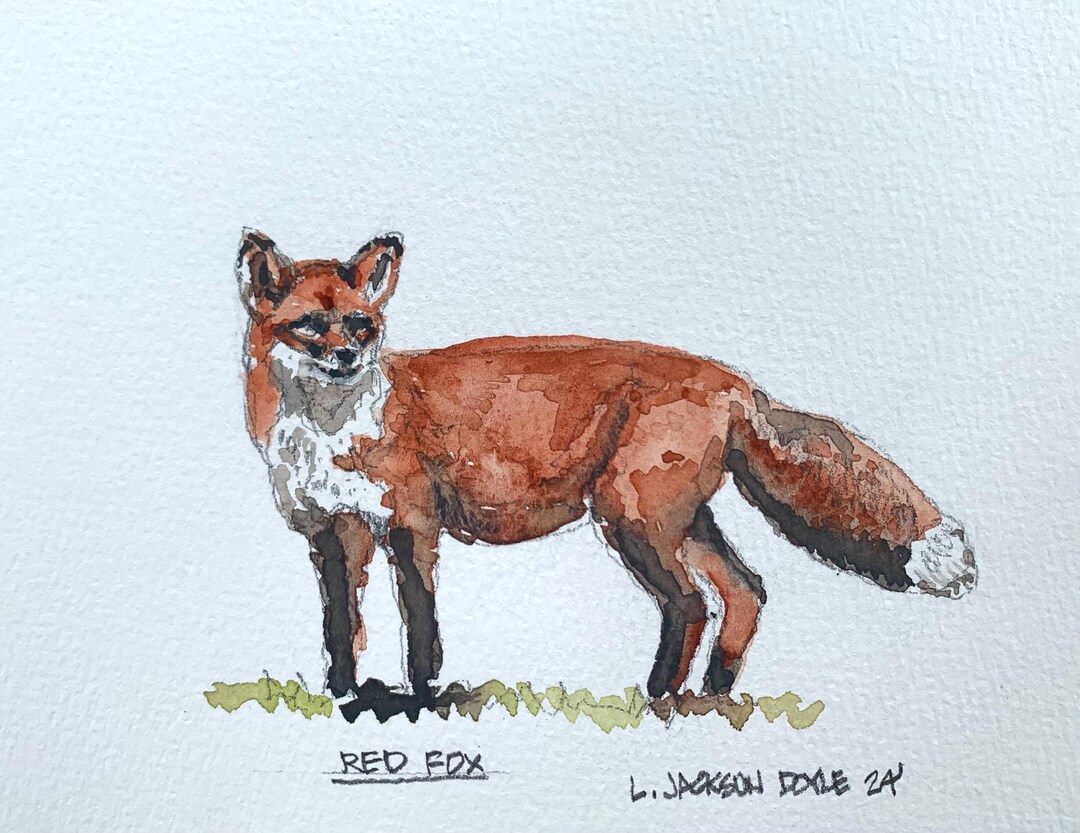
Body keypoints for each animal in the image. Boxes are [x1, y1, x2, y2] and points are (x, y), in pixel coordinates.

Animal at [236, 229, 977, 722]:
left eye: (360, 325)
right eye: (312, 325)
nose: (347, 359)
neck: (330, 433)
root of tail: (736, 381)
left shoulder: (412, 525)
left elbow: (420, 627)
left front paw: (420, 701)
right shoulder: (332, 534)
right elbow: (341, 627)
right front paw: (344, 697)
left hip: (632, 519)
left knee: (690, 603)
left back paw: (656, 702)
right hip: (674, 520)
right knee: (746, 590)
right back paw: (711, 697)